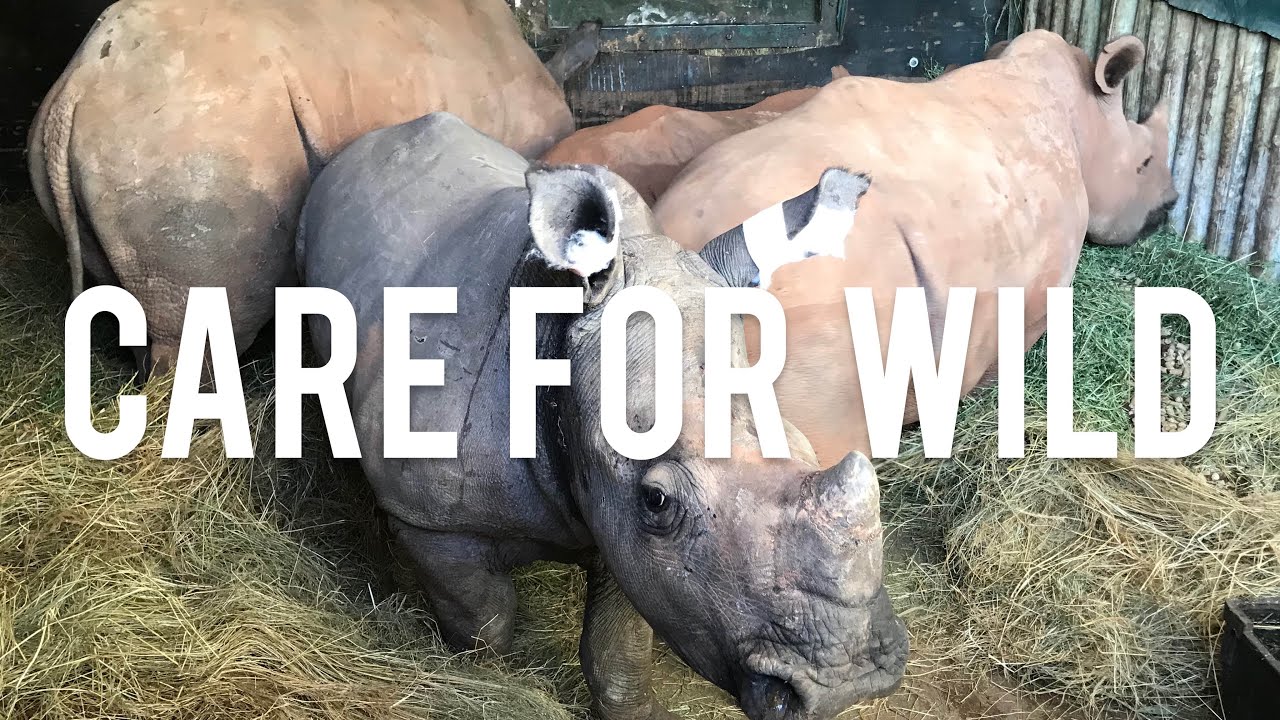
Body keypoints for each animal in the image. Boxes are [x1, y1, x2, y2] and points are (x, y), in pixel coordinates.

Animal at [295, 111, 908, 720]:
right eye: (657, 500)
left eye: (806, 448)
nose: (847, 684)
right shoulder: (431, 521)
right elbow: (484, 625)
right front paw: (485, 679)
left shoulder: (622, 530)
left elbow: (618, 648)